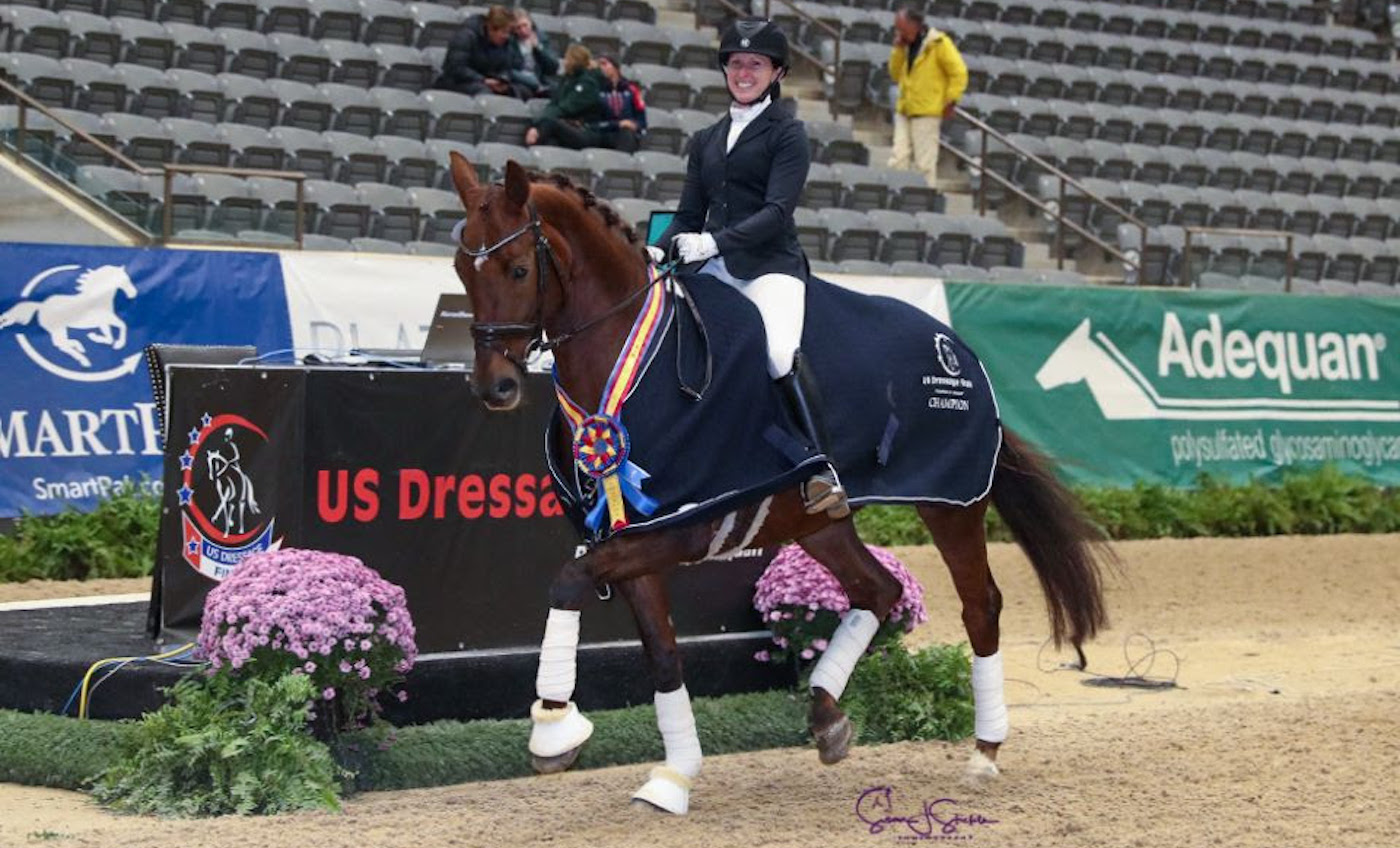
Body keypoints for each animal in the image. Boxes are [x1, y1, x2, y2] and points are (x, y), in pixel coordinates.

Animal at [0, 264, 136, 368]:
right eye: (125, 278)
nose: (133, 293)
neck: (98, 298)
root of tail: (41, 306)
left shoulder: (102, 322)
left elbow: (108, 337)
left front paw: (94, 337)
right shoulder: (107, 319)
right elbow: (122, 326)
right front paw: (119, 344)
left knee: (62, 343)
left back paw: (78, 347)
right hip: (58, 328)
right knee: (61, 344)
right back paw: (83, 359)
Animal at [445, 152, 1110, 815]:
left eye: (519, 267)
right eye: (459, 268)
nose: (494, 388)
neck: (630, 368)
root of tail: (959, 349)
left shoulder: (684, 529)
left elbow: (568, 581)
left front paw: (554, 728)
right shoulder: (628, 537)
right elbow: (662, 655)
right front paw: (674, 777)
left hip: (949, 503)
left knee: (980, 605)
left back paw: (984, 751)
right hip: (816, 520)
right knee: (878, 589)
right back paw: (826, 716)